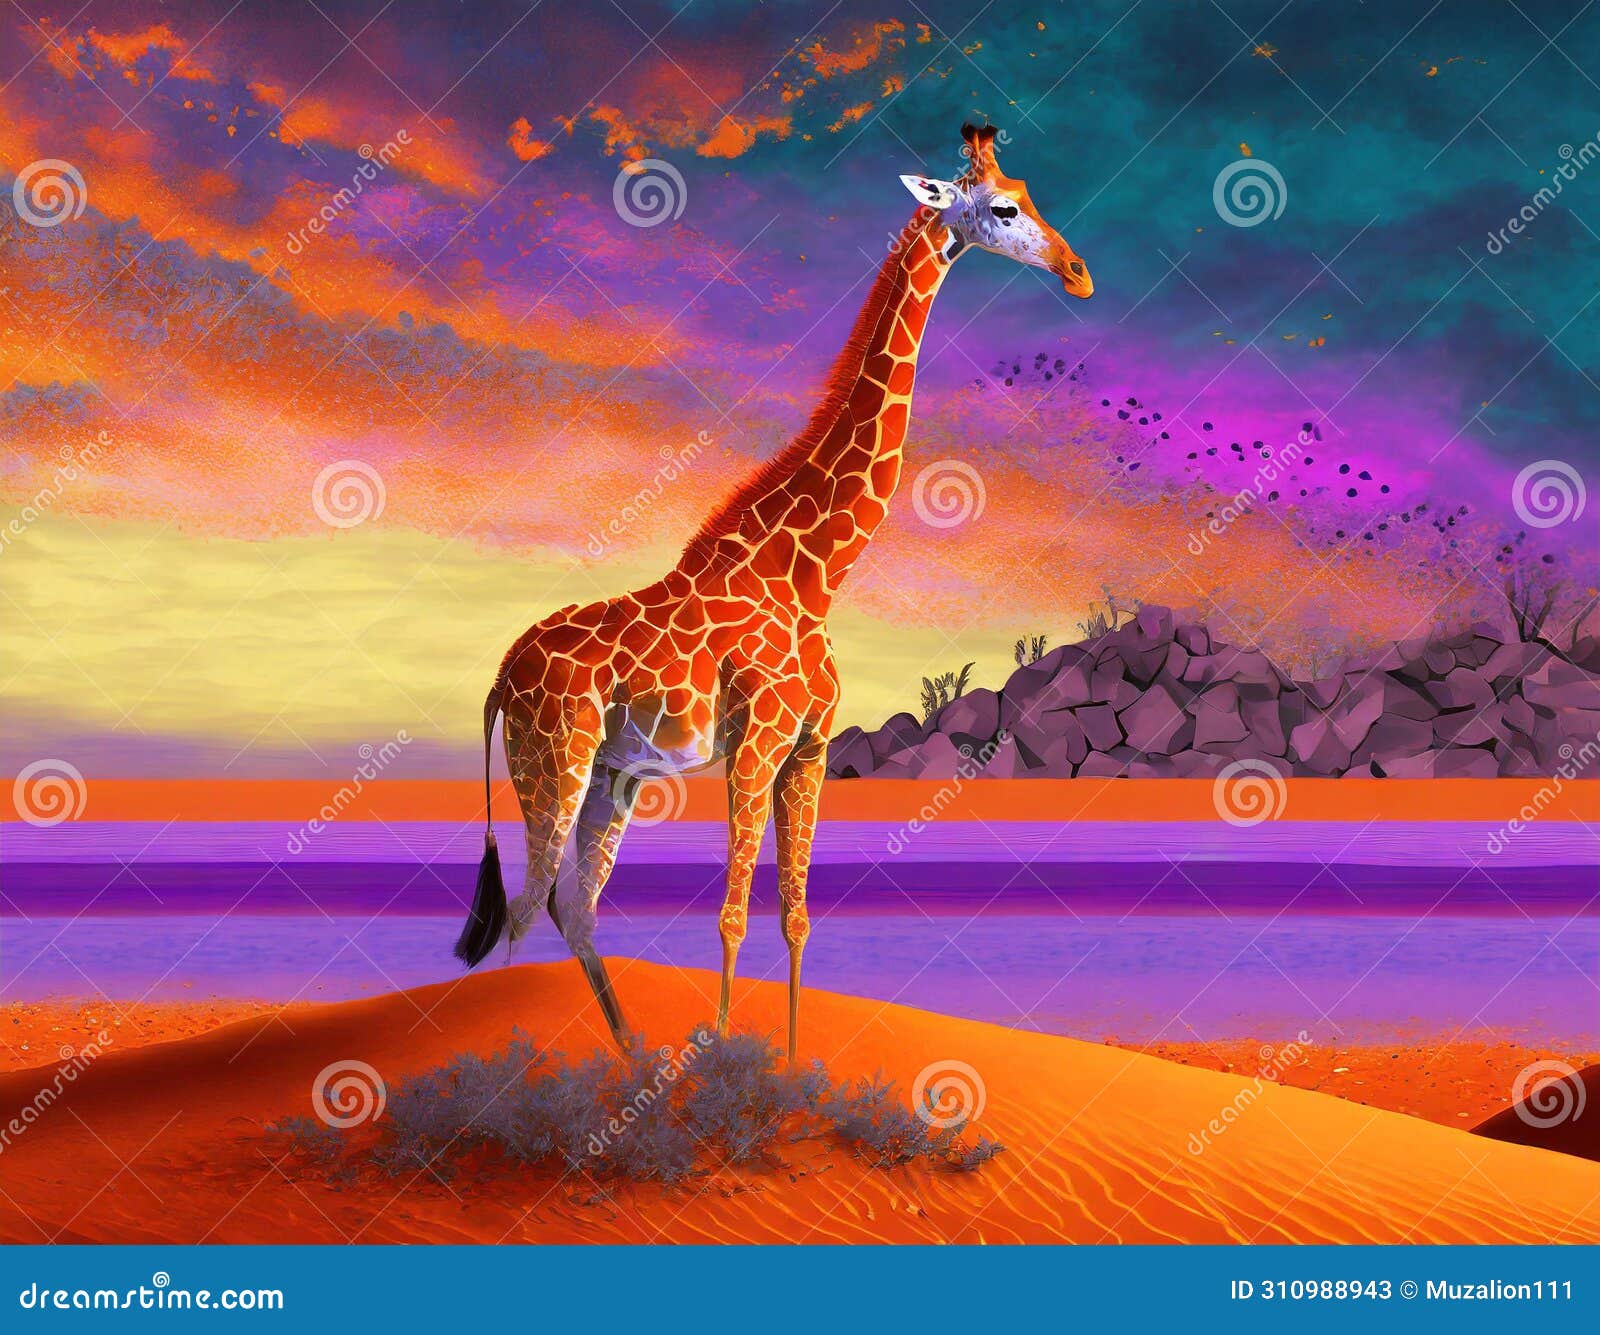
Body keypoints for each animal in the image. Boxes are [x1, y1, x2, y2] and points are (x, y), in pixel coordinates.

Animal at [455, 123, 1093, 1060]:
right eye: (1005, 207)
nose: (1078, 271)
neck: (814, 569)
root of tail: (500, 675)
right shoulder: (757, 739)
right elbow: (730, 916)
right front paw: (721, 1061)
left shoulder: (810, 746)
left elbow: (794, 917)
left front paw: (787, 1066)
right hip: (555, 760)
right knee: (527, 912)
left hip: (613, 772)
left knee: (574, 908)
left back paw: (627, 1054)